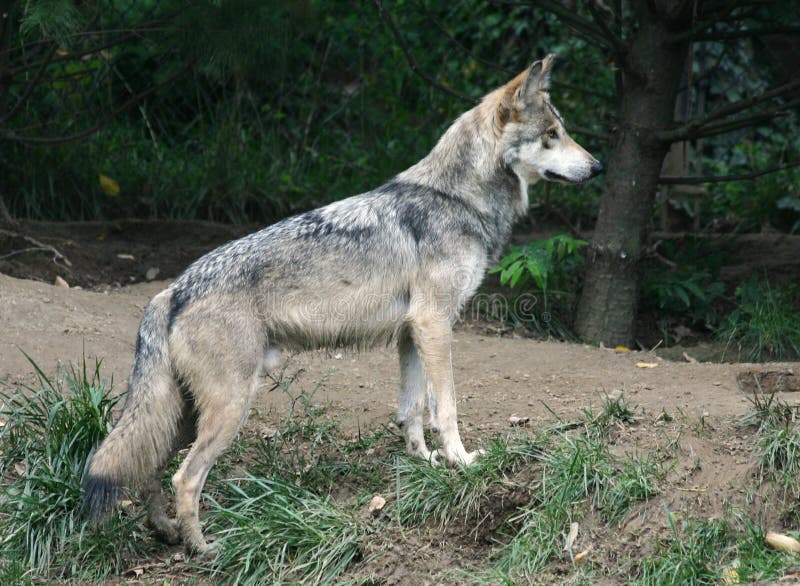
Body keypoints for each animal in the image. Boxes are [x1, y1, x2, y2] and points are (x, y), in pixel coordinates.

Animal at [83, 53, 602, 553]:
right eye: (552, 134)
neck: (457, 198)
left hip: (184, 416)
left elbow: (412, 411)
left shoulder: (411, 333)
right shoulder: (435, 323)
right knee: (184, 478)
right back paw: (202, 547)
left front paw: (425, 464)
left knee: (149, 469)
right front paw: (462, 461)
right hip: (229, 408)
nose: (598, 167)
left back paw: (166, 533)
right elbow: (447, 408)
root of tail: (172, 289)